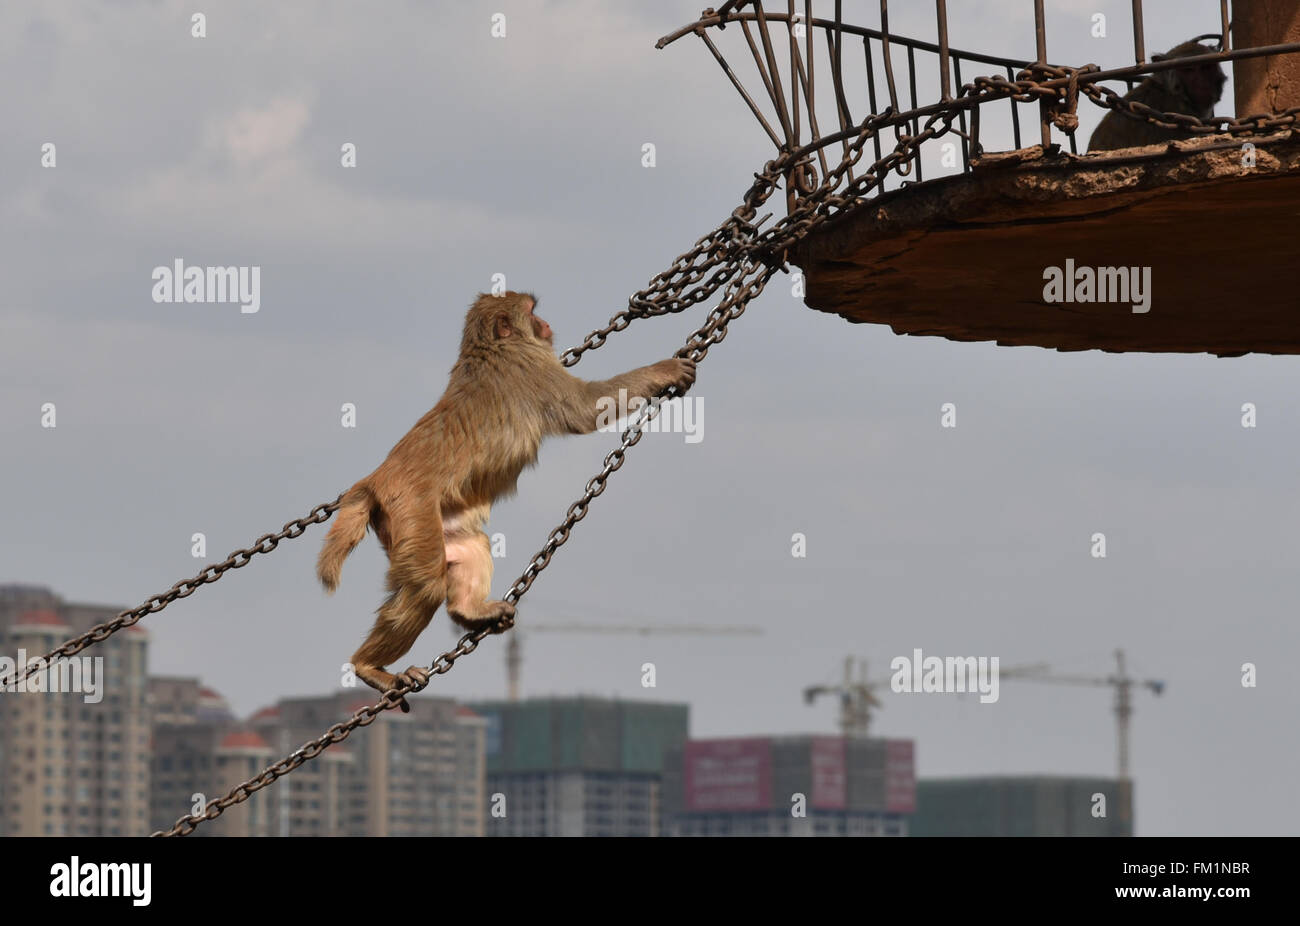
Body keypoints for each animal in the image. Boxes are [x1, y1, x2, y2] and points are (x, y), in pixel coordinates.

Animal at [316, 291, 696, 710]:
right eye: (532, 312)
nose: (546, 324)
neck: (489, 348)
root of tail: (375, 479)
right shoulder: (535, 368)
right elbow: (587, 407)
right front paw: (664, 370)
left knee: (469, 547)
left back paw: (468, 611)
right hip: (411, 509)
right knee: (427, 582)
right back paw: (369, 667)